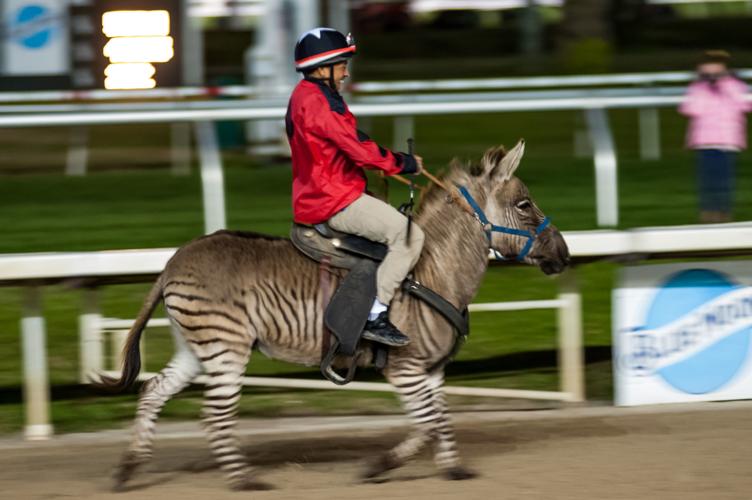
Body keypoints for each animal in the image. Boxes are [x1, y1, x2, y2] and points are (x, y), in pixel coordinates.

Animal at [102, 140, 570, 490]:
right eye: (524, 204)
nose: (564, 254)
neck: (432, 270)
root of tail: (174, 261)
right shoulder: (406, 368)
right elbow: (428, 425)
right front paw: (378, 466)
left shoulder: (432, 370)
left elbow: (440, 421)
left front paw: (453, 469)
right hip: (225, 348)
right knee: (214, 412)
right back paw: (243, 480)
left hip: (196, 349)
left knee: (155, 392)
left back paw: (128, 469)